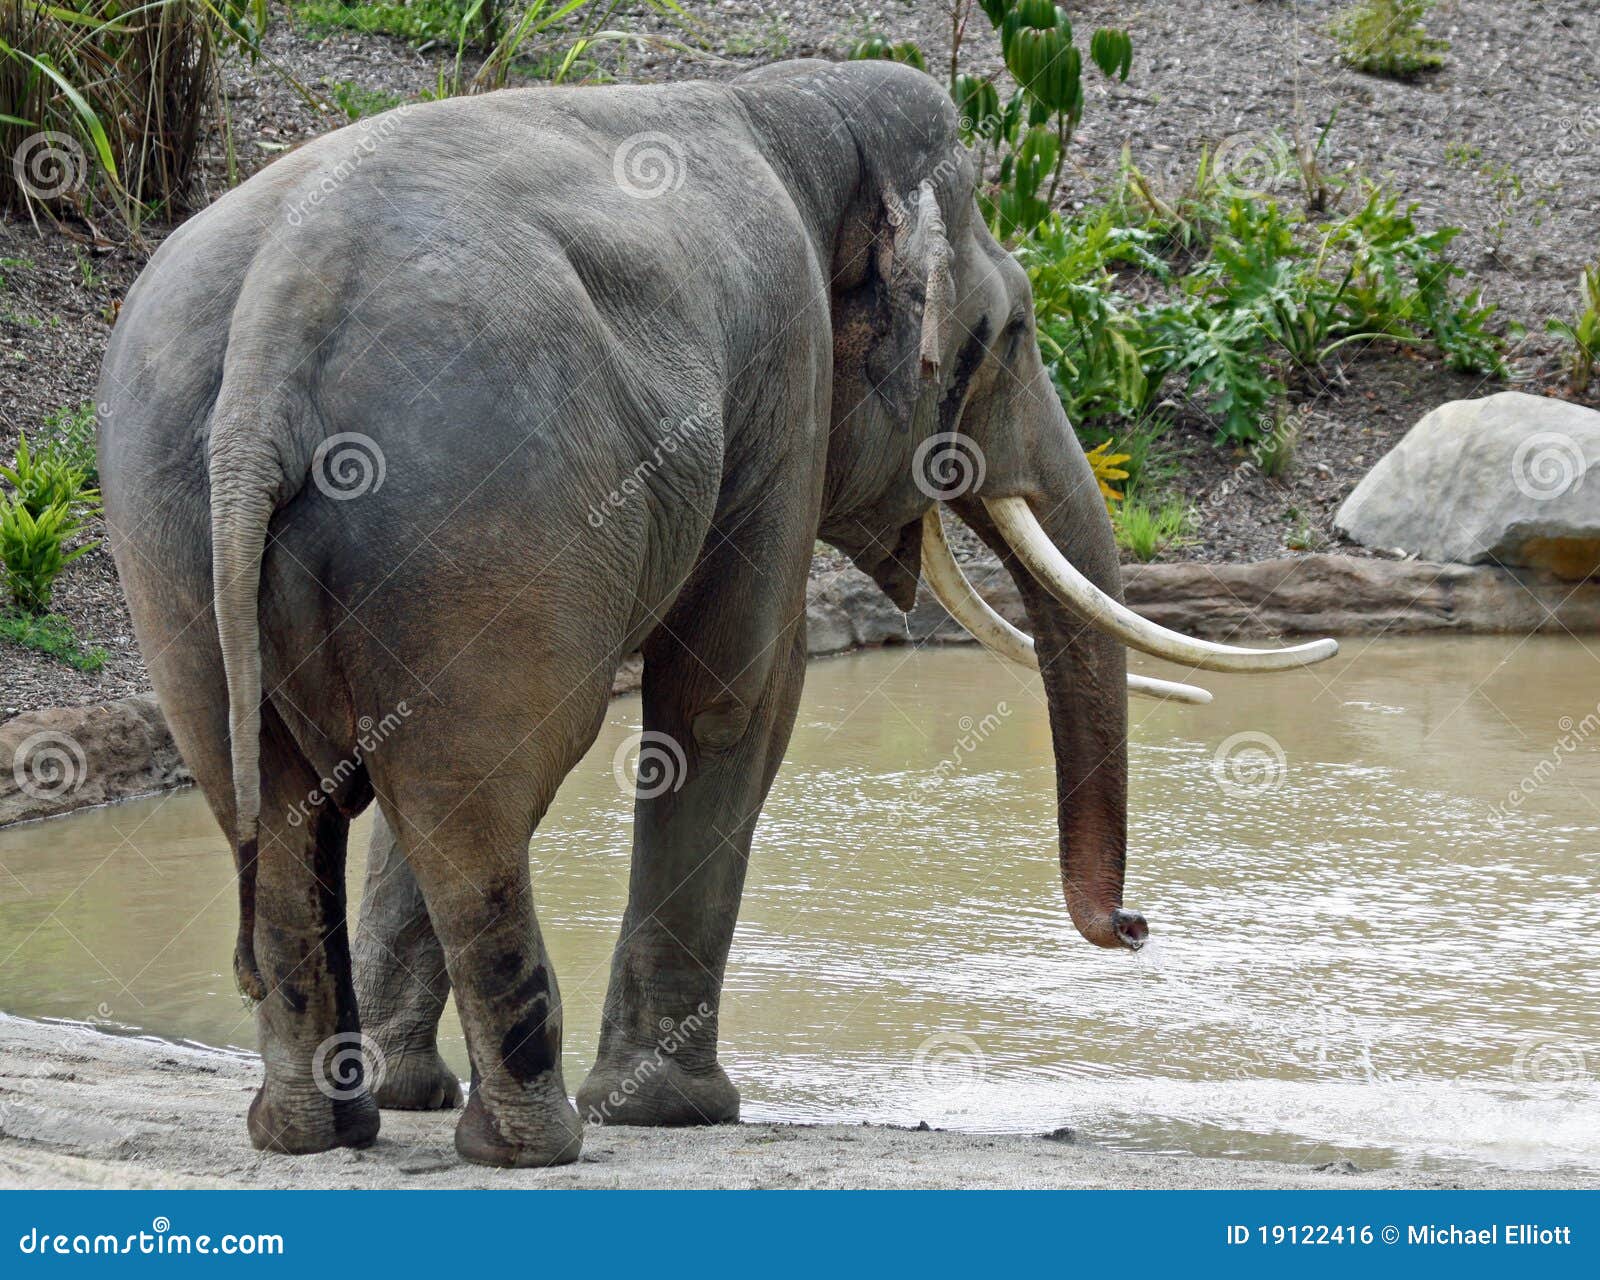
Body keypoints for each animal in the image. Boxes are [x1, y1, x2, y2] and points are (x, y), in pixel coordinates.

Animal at [98, 58, 1335, 1168]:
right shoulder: (783, 372)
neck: (786, 106)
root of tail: (270, 347)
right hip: (476, 509)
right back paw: (529, 1143)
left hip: (175, 525)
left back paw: (320, 1128)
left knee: (300, 798)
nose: (1135, 928)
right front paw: (680, 1114)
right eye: (1008, 337)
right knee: (473, 794)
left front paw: (417, 1092)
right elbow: (734, 697)